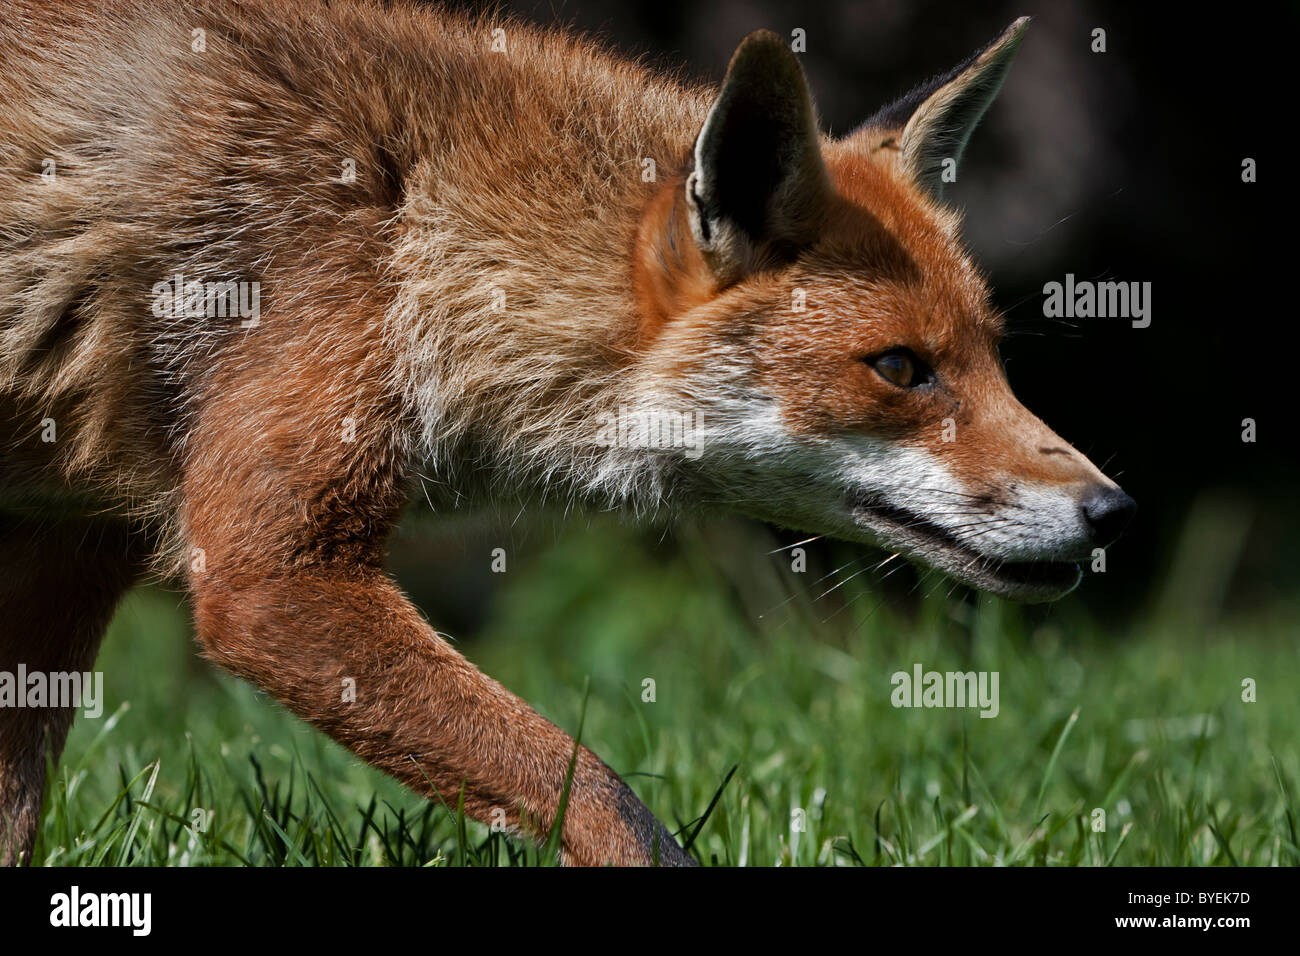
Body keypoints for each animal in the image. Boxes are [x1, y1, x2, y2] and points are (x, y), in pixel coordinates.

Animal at [0, 0, 1135, 866]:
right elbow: (606, 799)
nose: (1111, 510)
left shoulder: (71, 536)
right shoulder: (272, 575)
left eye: (993, 357)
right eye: (900, 369)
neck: (408, 227)